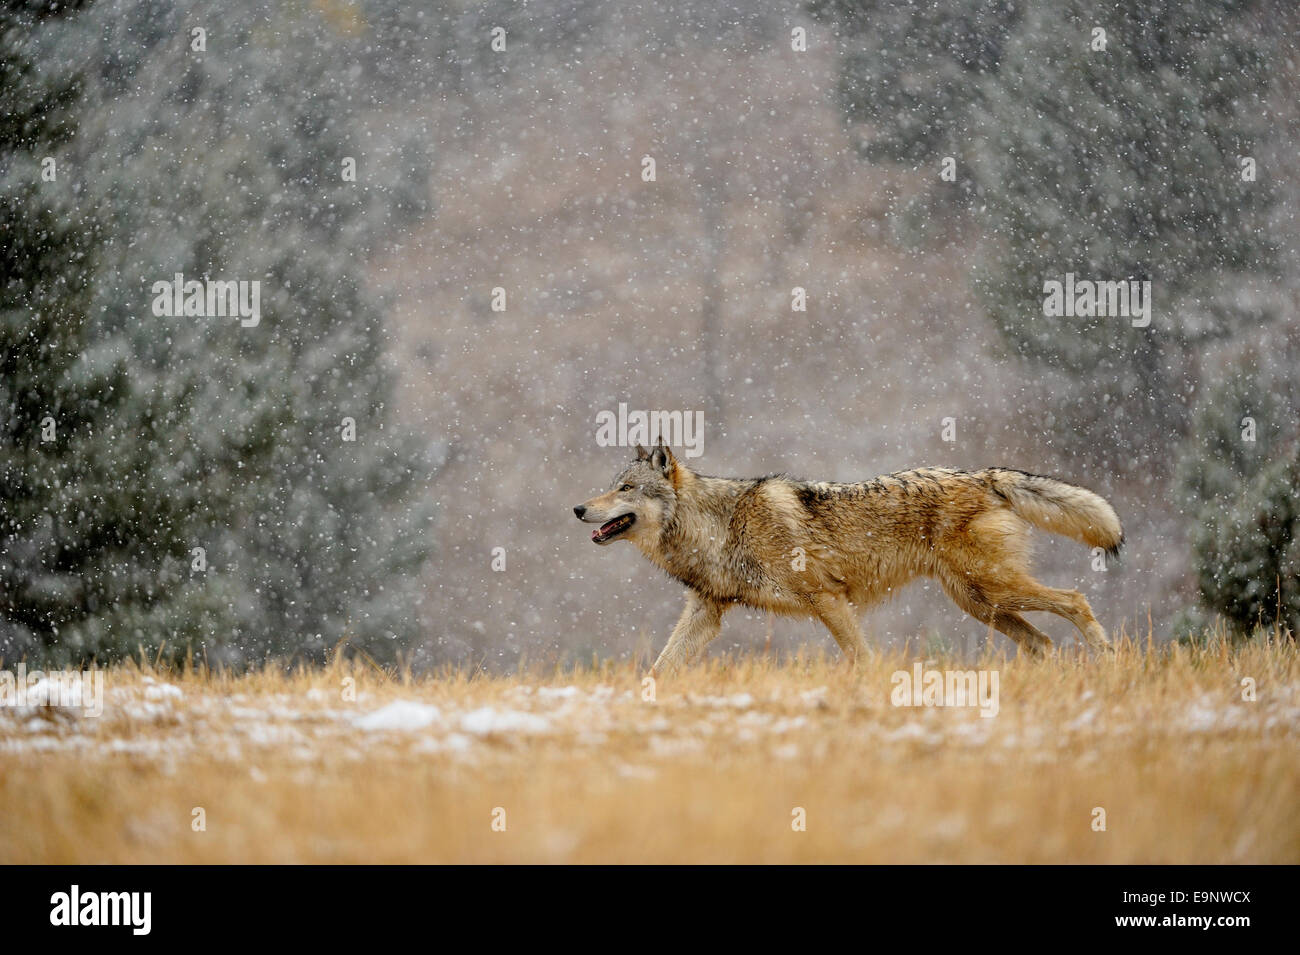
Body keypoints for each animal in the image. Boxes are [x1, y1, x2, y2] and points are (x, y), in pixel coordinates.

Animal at [574, 440, 1123, 675]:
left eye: (624, 488)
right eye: (610, 485)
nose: (578, 508)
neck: (718, 524)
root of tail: (984, 475)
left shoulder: (828, 598)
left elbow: (862, 657)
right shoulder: (707, 612)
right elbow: (660, 667)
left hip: (993, 590)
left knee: (1076, 599)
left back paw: (1110, 659)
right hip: (980, 602)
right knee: (1042, 642)